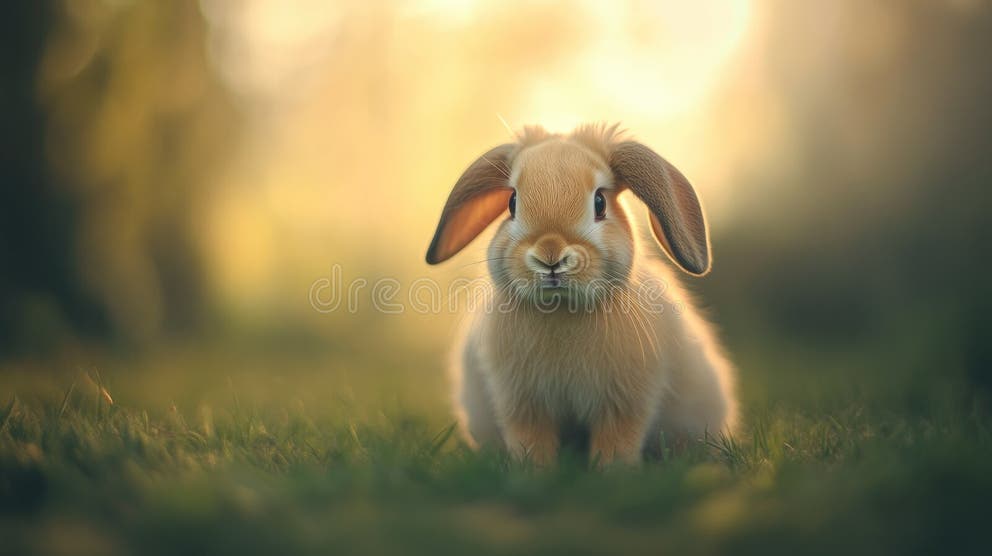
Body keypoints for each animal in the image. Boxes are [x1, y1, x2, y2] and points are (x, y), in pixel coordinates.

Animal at [425, 124, 737, 465]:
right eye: (512, 203)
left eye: (600, 202)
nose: (550, 254)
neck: (561, 309)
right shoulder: (522, 403)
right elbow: (531, 441)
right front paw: (534, 471)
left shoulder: (624, 403)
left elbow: (616, 441)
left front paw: (611, 471)